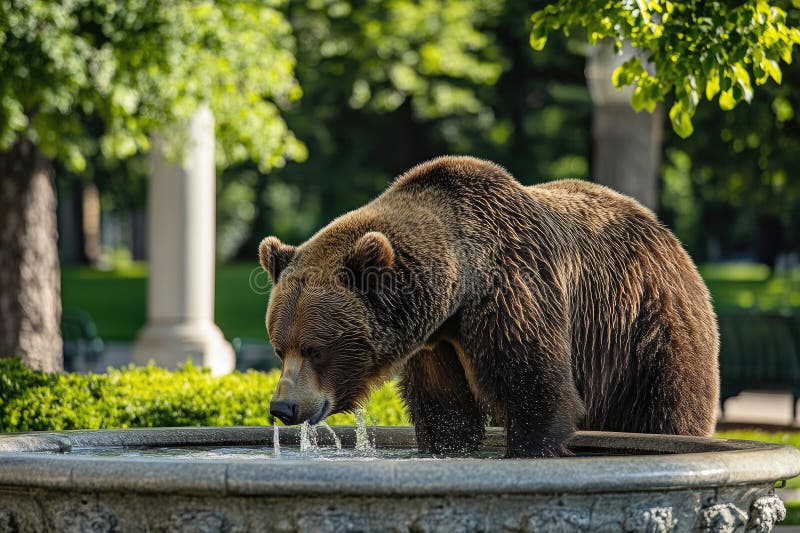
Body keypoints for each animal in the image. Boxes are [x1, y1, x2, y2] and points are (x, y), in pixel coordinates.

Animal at [260, 156, 719, 458]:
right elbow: (444, 408)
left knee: (668, 404)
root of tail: (665, 234)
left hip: (644, 332)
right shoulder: (436, 346)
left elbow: (533, 385)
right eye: (280, 348)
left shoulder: (512, 294)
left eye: (315, 349)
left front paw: (531, 448)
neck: (457, 294)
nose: (283, 407)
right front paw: (447, 444)